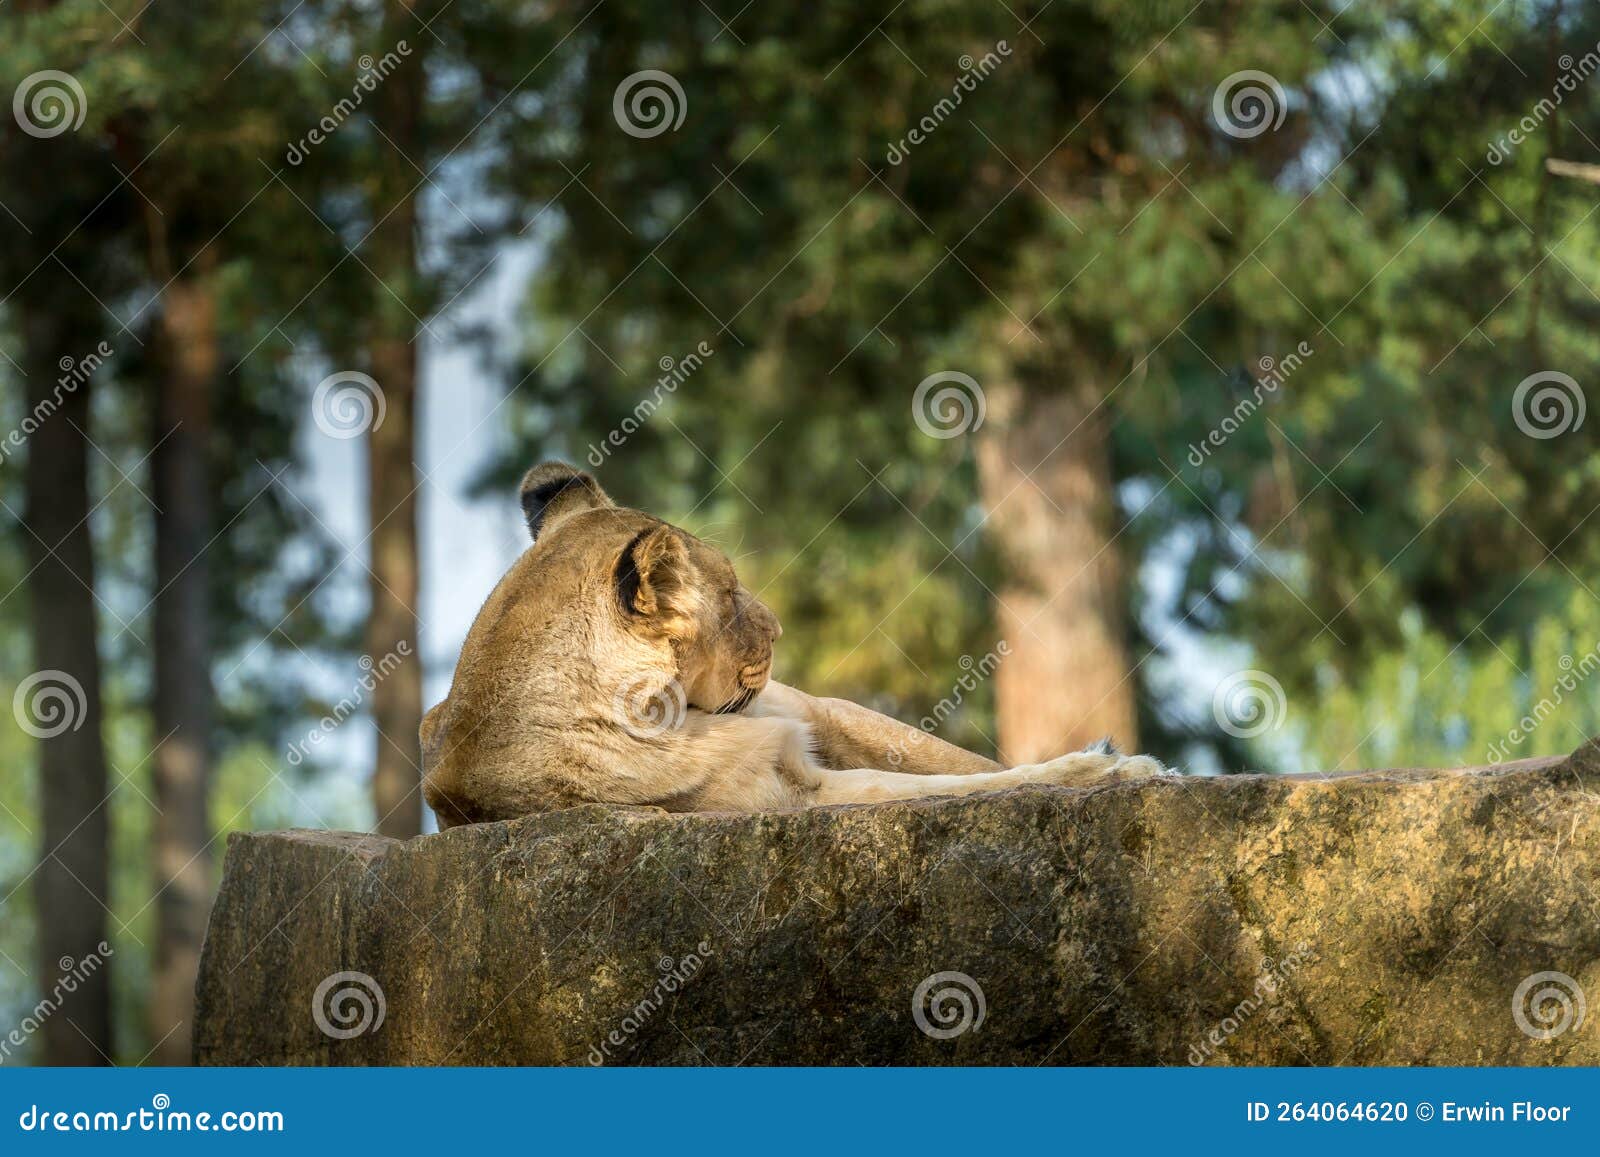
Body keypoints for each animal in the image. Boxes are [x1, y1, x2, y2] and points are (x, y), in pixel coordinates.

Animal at [420, 462, 1169, 828]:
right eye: (731, 593)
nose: (778, 627)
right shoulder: (787, 797)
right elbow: (974, 785)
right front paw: (1111, 771)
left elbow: (971, 770)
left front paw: (1112, 763)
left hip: (824, 707)